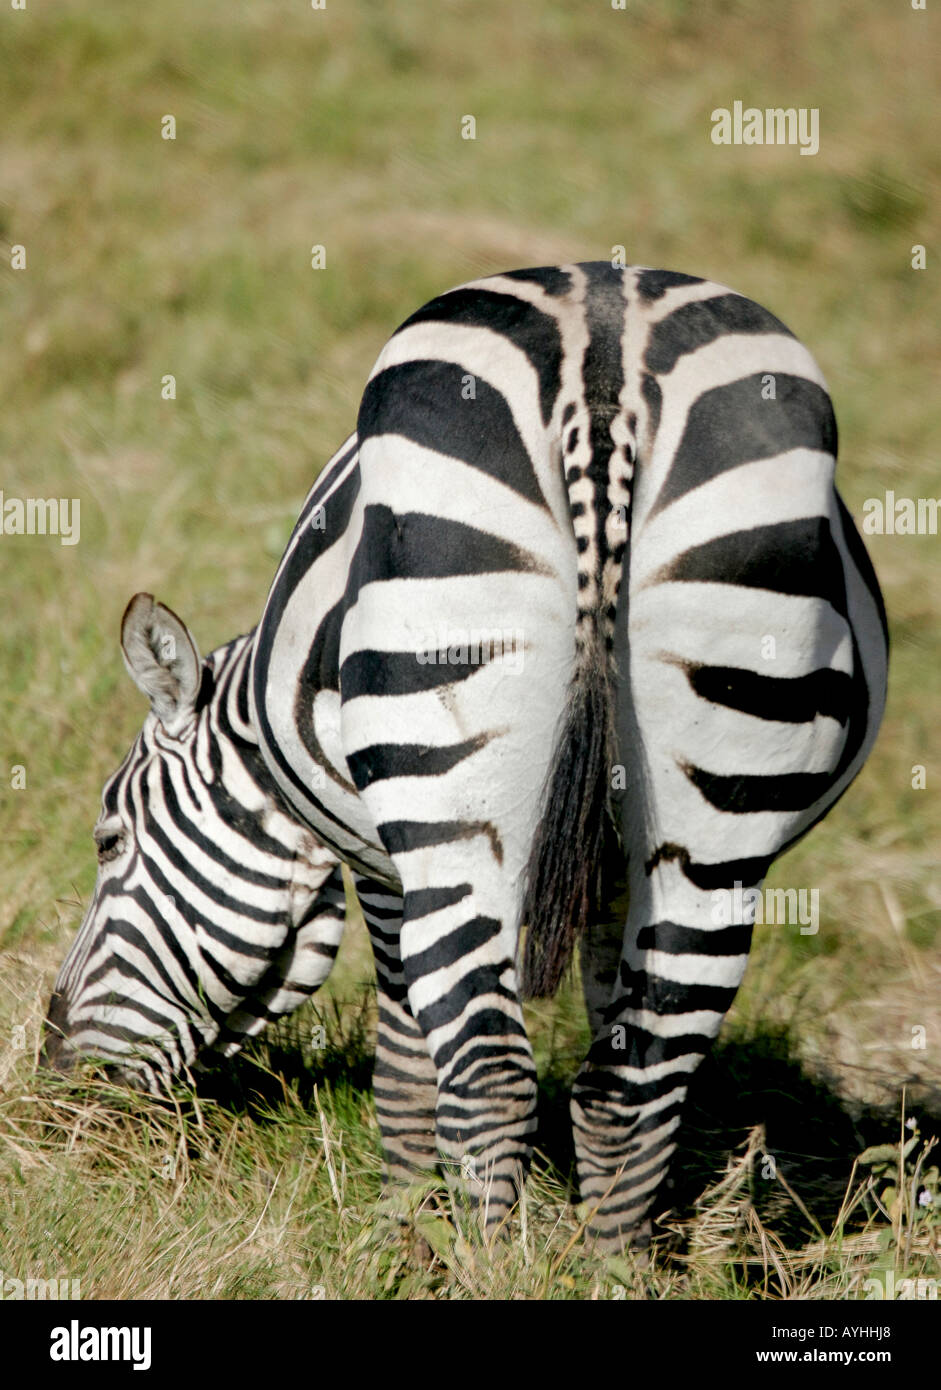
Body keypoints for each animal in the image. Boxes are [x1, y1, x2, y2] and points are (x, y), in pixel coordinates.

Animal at [44, 262, 888, 1251]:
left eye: (107, 842)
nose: (53, 1073)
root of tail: (604, 360)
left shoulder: (380, 856)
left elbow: (407, 1059)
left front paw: (400, 1233)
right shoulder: (608, 866)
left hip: (451, 794)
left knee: (489, 1076)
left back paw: (481, 1265)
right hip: (716, 824)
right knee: (631, 1086)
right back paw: (604, 1269)